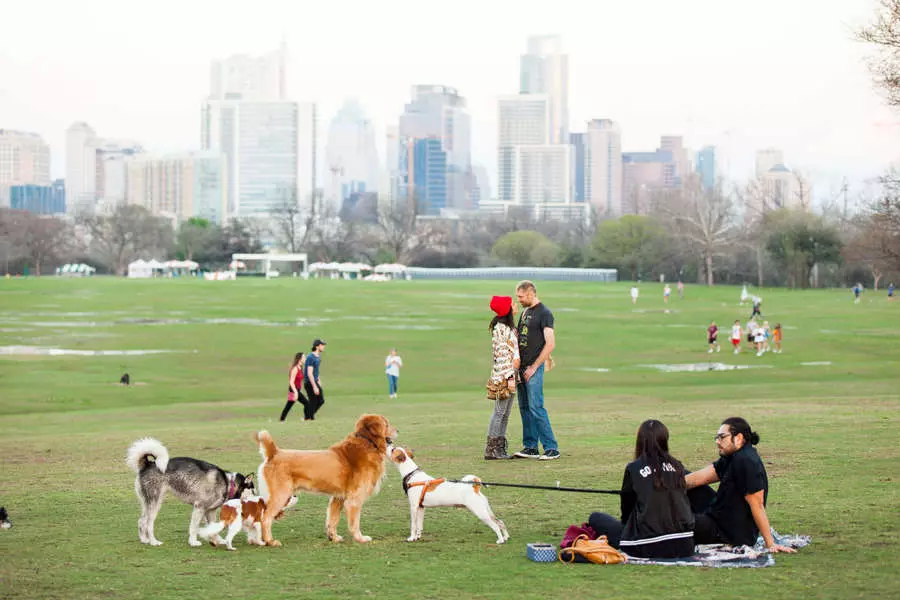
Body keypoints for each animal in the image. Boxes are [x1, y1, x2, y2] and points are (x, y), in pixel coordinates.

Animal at [125, 436, 255, 548]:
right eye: (253, 490)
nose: (258, 500)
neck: (228, 483)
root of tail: (148, 464)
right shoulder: (199, 507)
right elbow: (194, 527)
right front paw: (193, 542)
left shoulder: (210, 511)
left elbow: (214, 528)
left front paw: (217, 540)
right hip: (155, 503)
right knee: (148, 523)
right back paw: (153, 542)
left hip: (148, 503)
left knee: (141, 521)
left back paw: (144, 540)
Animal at [251, 414, 396, 548]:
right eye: (387, 424)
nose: (398, 430)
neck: (367, 443)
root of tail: (274, 453)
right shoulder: (354, 500)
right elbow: (354, 523)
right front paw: (360, 538)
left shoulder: (338, 498)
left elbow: (333, 520)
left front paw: (333, 537)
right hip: (281, 495)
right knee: (266, 518)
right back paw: (270, 541)